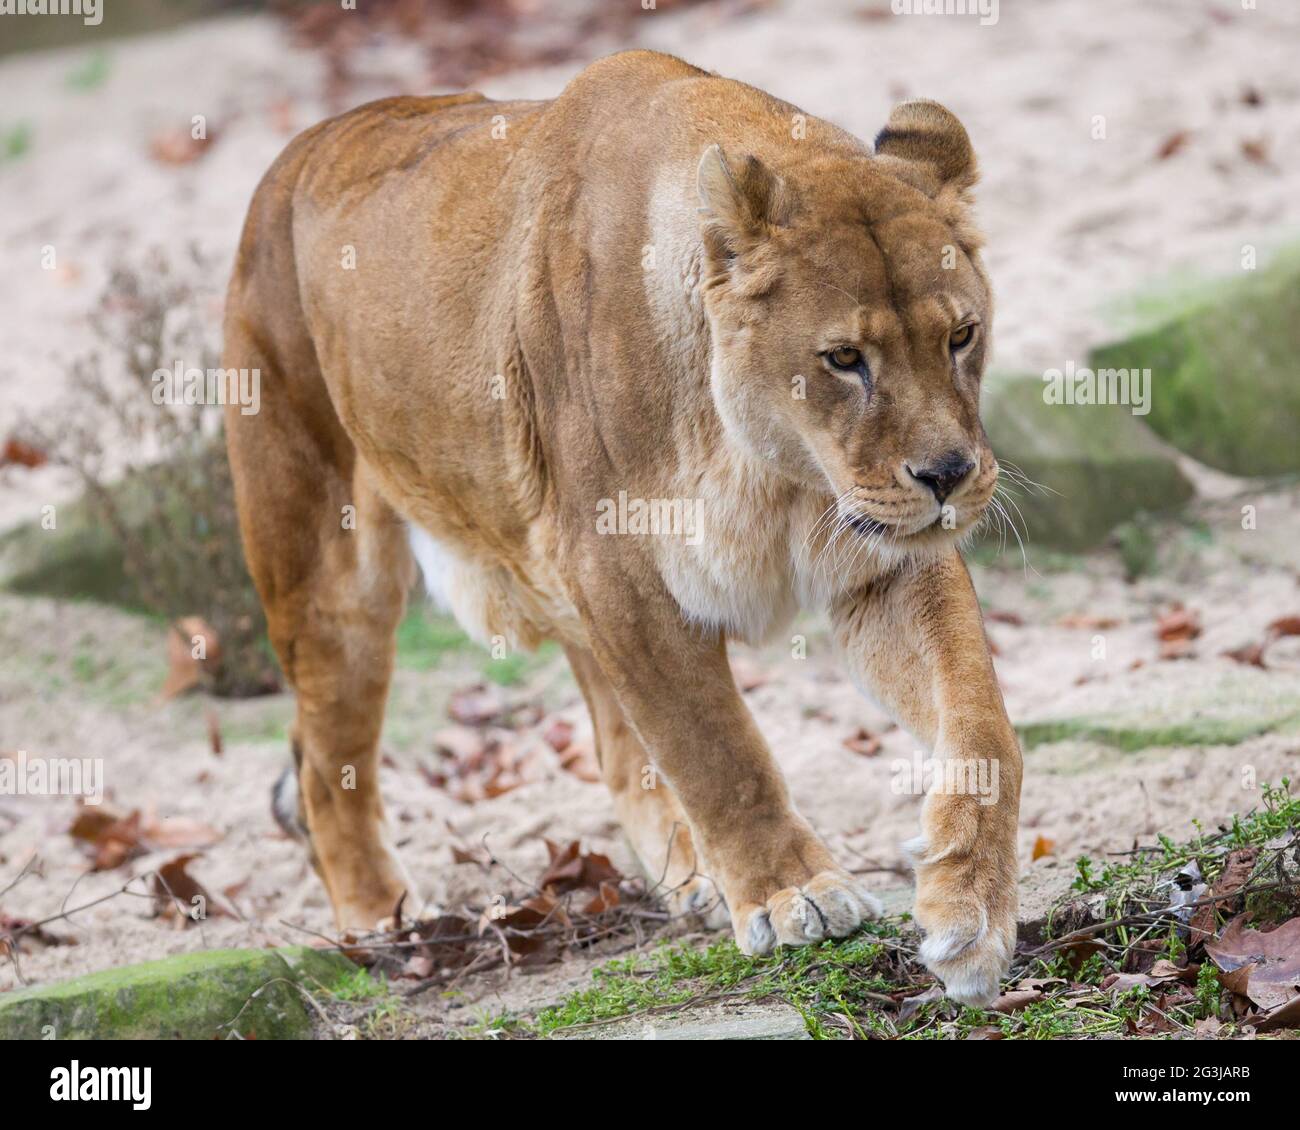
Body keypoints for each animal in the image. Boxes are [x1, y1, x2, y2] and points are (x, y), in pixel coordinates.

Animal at [224, 50, 1021, 1006]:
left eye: (962, 335)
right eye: (843, 359)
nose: (948, 477)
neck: (776, 471)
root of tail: (293, 156)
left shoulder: (882, 560)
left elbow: (982, 723)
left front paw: (969, 907)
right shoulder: (621, 574)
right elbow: (717, 748)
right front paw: (793, 895)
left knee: (607, 745)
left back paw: (691, 880)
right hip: (328, 570)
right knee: (325, 760)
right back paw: (382, 922)